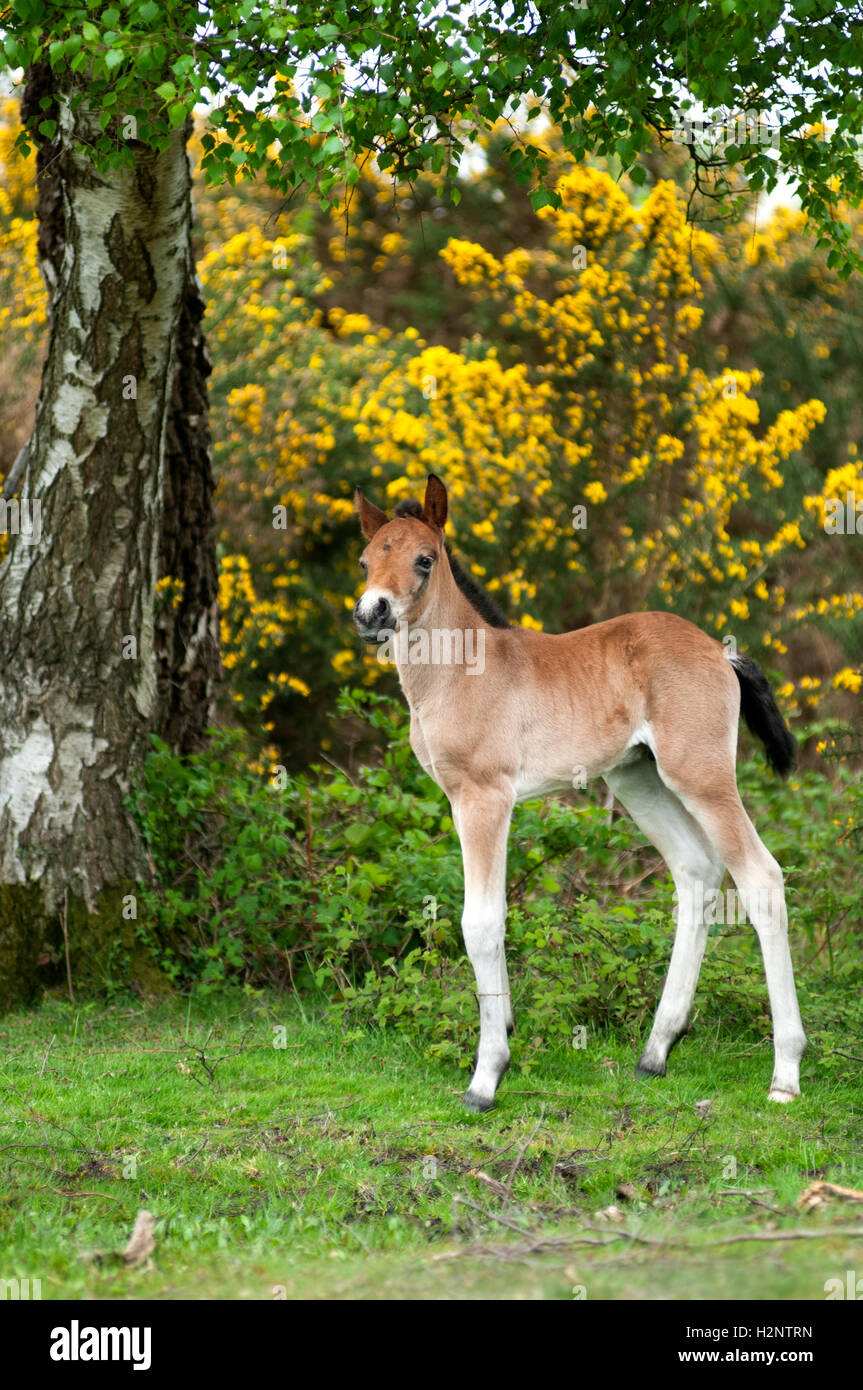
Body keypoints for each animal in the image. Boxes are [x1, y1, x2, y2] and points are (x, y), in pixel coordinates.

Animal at [353, 474, 806, 1113]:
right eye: (367, 560)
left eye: (425, 559)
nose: (373, 613)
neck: (461, 671)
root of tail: (721, 651)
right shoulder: (462, 800)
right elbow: (492, 916)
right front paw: (505, 1034)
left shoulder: (485, 796)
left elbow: (479, 922)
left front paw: (486, 1077)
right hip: (638, 779)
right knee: (696, 871)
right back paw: (655, 1052)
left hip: (701, 776)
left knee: (762, 878)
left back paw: (785, 1073)